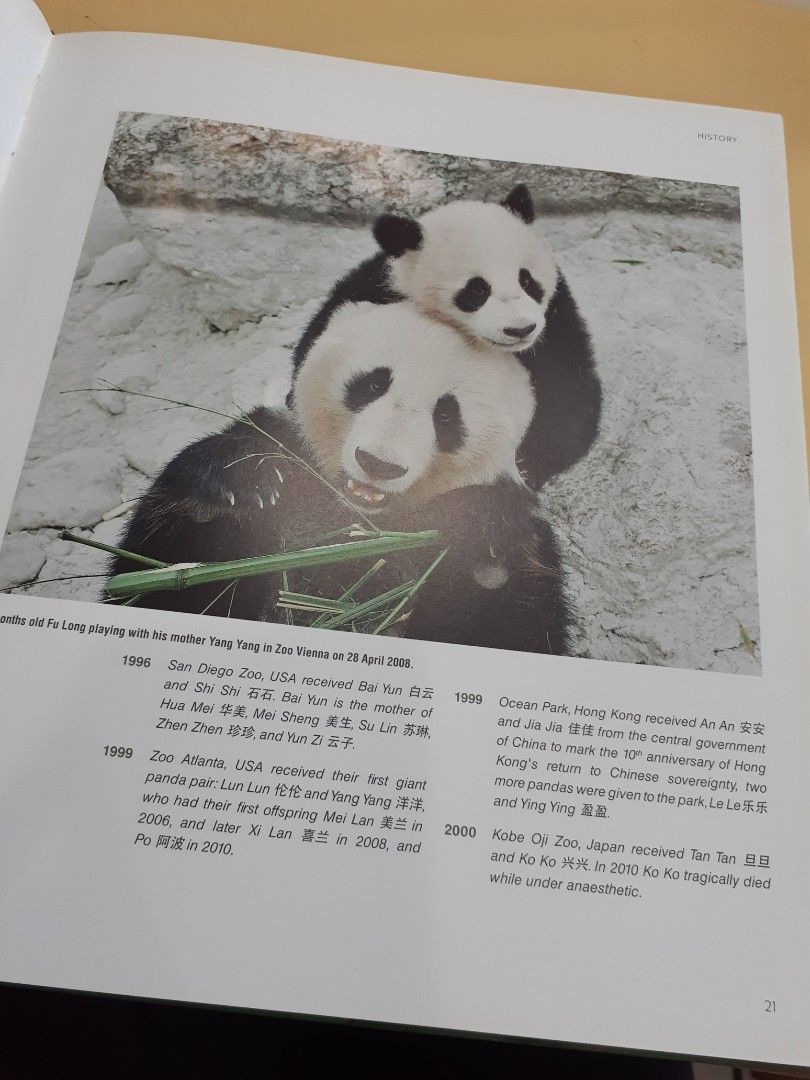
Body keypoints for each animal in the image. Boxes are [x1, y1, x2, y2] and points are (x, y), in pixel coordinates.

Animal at [108, 302, 571, 655]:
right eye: (372, 384)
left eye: (446, 415)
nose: (378, 463)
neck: (358, 518)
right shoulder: (288, 450)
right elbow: (158, 575)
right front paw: (243, 487)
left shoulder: (524, 551)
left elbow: (509, 617)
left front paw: (471, 522)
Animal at [289, 184, 601, 491]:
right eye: (477, 290)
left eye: (527, 281)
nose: (521, 329)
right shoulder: (378, 285)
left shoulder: (556, 321)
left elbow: (572, 388)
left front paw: (527, 463)